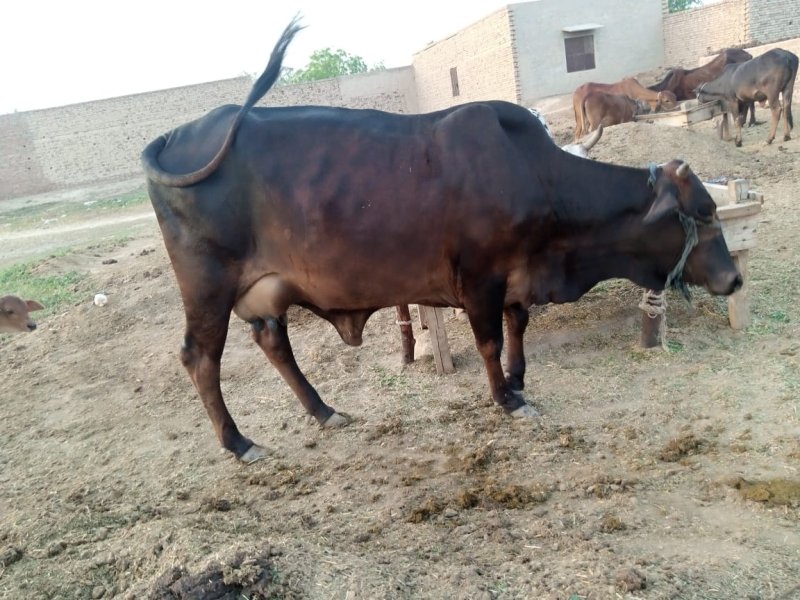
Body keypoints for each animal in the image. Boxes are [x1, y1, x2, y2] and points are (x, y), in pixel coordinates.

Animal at [142, 18, 742, 463]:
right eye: (704, 212)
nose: (735, 278)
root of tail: (178, 133)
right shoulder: (479, 278)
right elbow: (489, 341)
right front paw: (506, 397)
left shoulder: (515, 278)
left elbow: (517, 326)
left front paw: (519, 381)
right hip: (207, 285)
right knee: (200, 358)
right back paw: (239, 443)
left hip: (265, 289)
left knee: (273, 342)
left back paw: (324, 411)